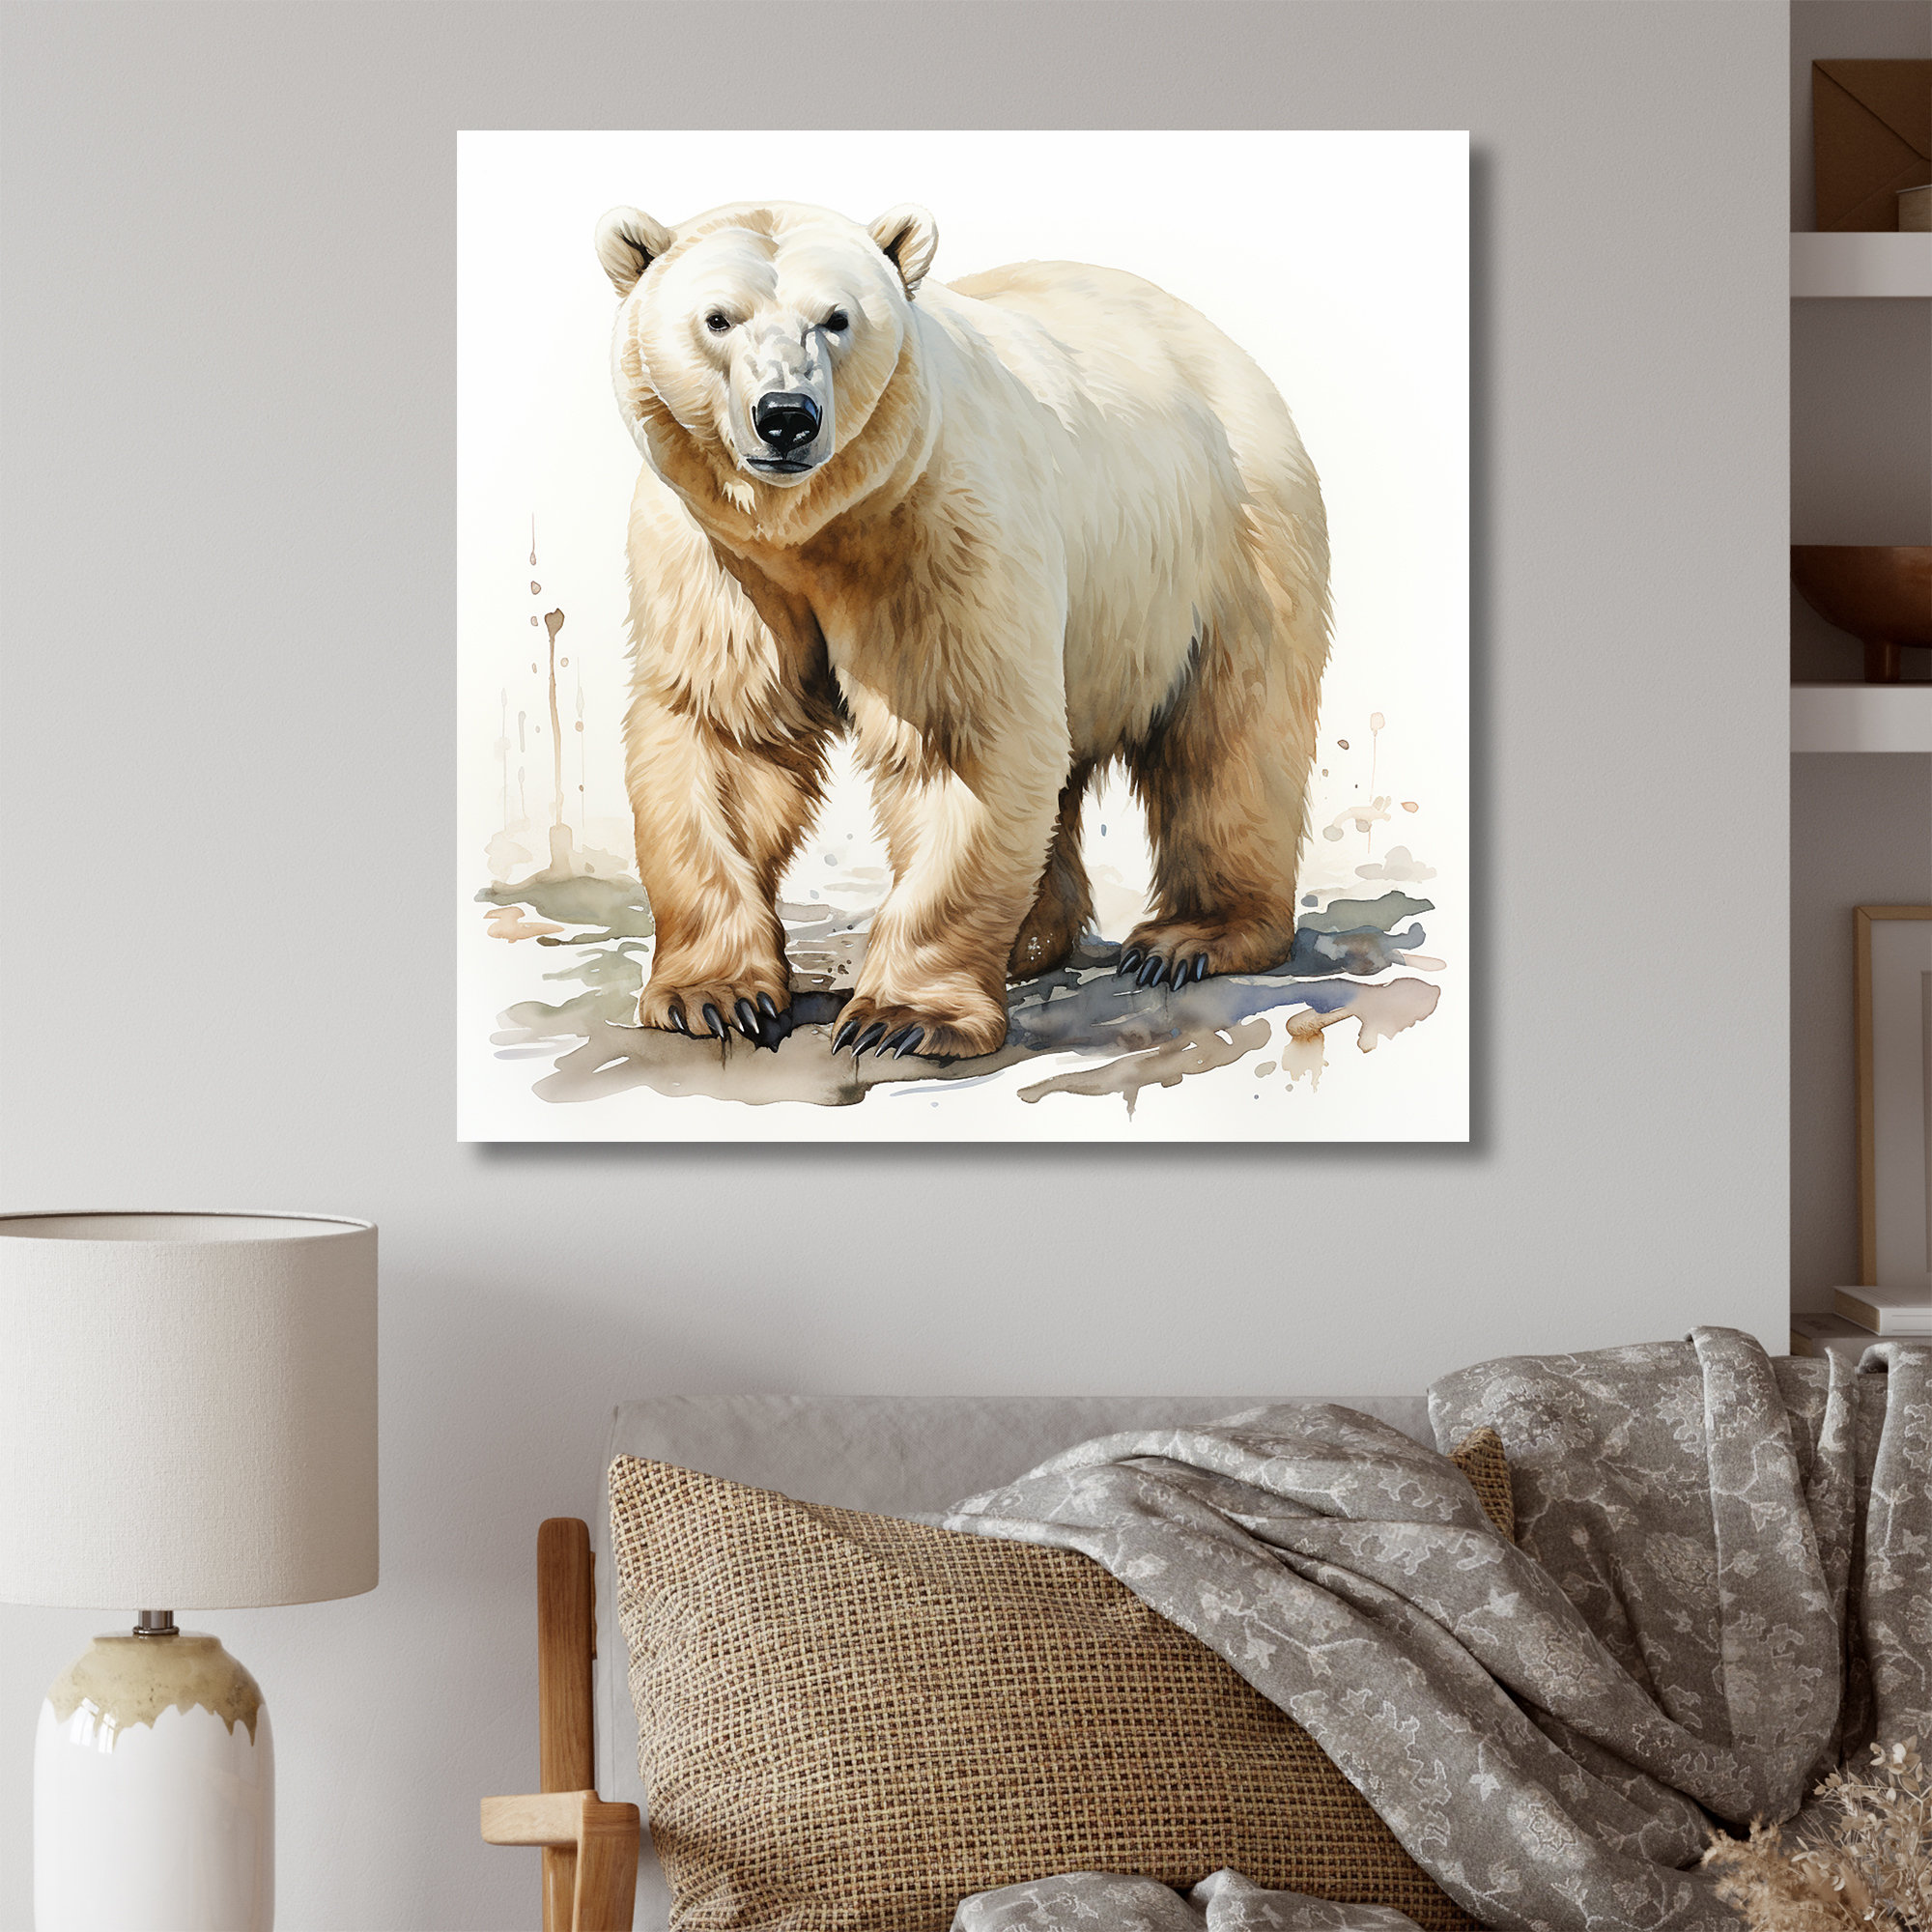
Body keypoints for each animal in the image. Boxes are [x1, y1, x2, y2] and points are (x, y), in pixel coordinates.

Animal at [595, 198, 1330, 1061]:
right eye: (718, 318)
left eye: (836, 318)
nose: (785, 419)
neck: (814, 531)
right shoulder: (718, 559)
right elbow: (724, 737)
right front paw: (713, 996)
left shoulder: (939, 529)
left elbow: (962, 738)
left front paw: (902, 1017)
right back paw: (1032, 940)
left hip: (1225, 542)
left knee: (1229, 735)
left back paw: (1192, 937)